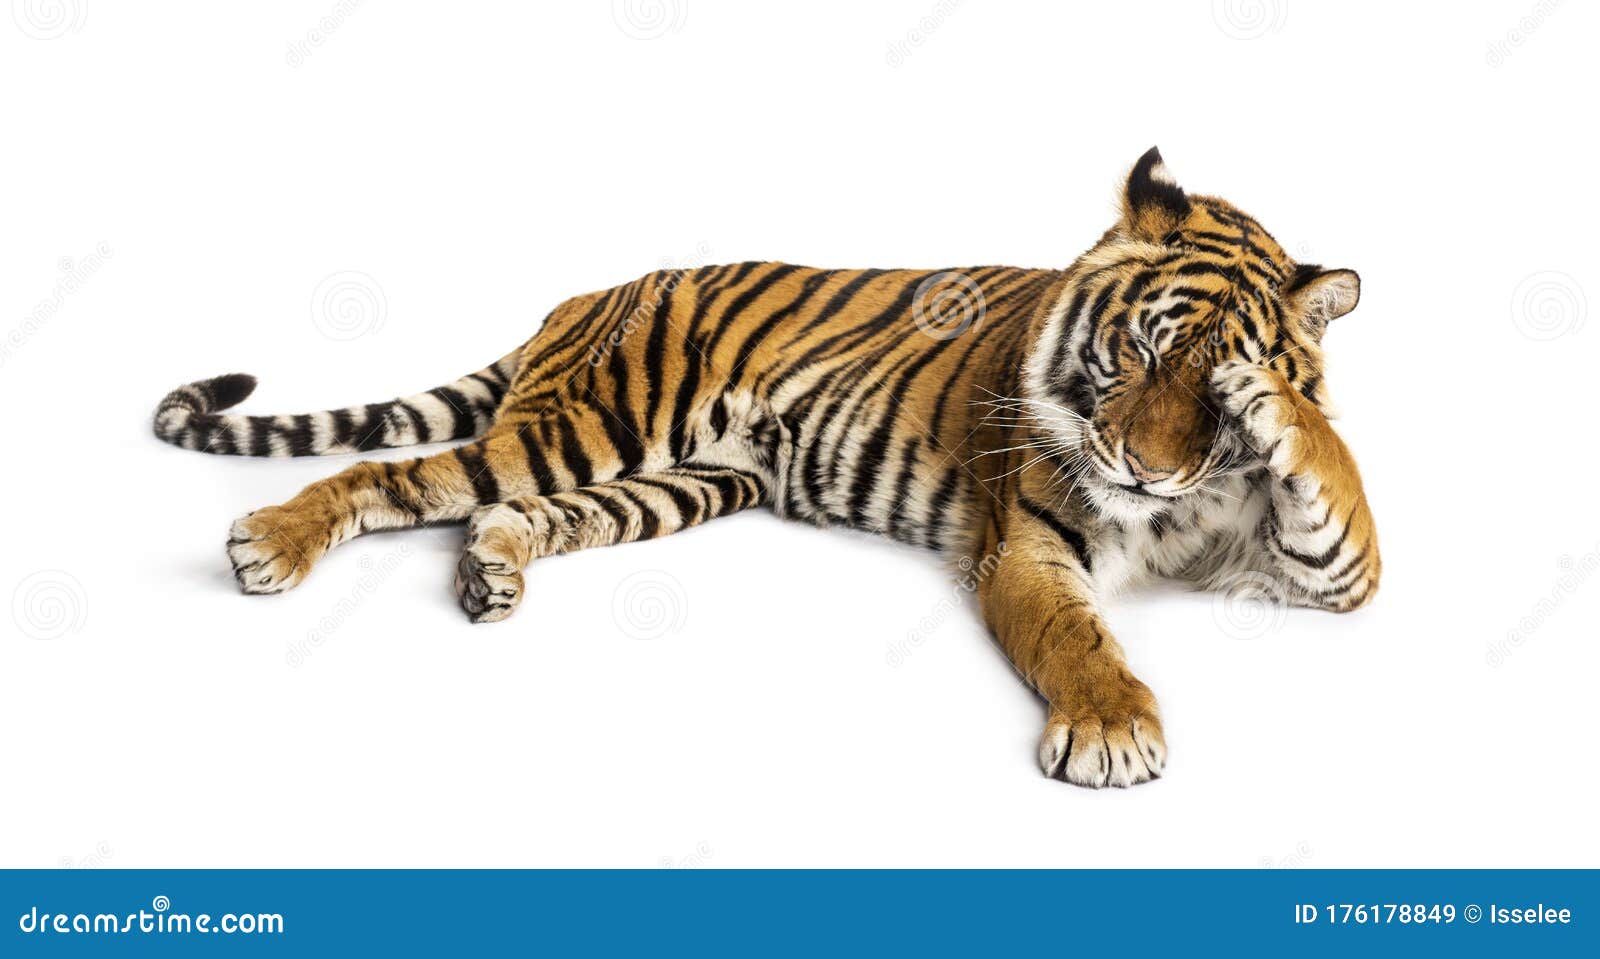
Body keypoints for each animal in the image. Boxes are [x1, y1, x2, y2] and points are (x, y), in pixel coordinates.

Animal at [153, 148, 1379, 788]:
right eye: (1144, 350)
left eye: (1210, 401)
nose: (1145, 469)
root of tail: (580, 296)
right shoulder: (1028, 545)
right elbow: (1075, 637)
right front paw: (1115, 728)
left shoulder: (1320, 570)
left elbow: (1336, 471)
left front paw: (1278, 400)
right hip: (584, 424)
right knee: (396, 478)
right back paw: (270, 541)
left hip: (686, 480)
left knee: (527, 514)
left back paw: (490, 569)